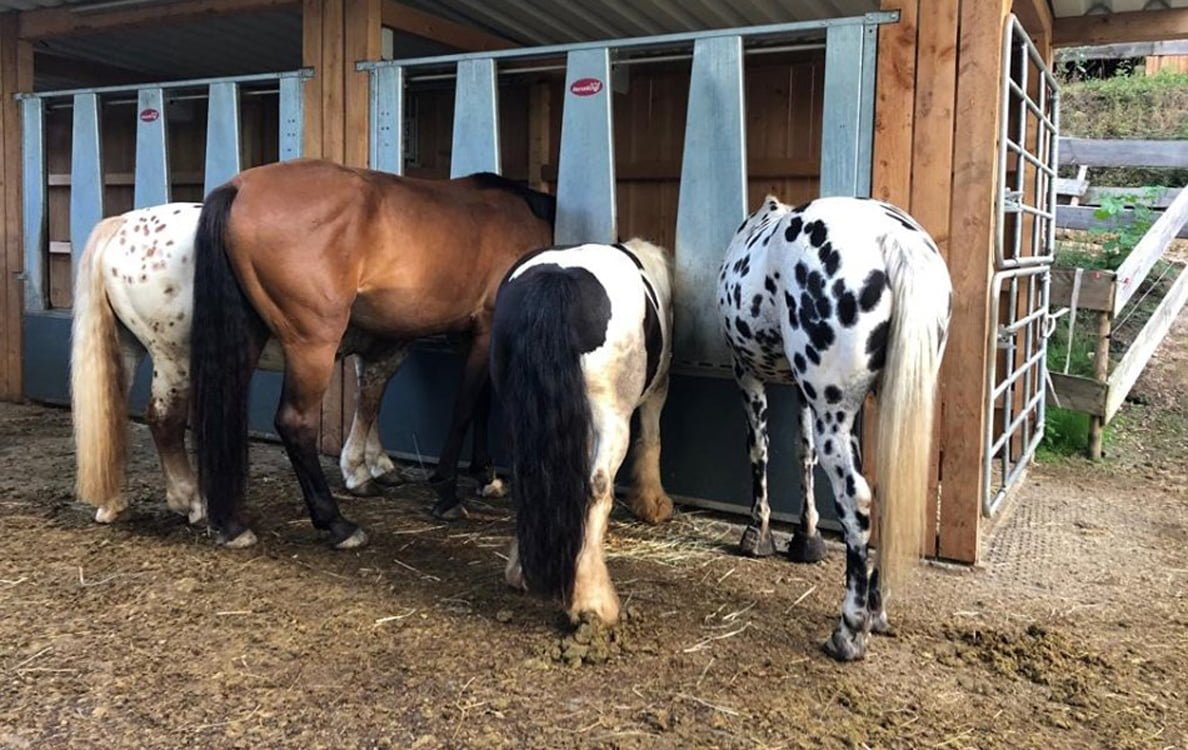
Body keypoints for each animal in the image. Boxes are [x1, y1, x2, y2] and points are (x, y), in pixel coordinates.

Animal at [69, 202, 417, 527]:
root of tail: (121, 225)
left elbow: (366, 399)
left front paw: (377, 463)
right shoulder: (388, 349)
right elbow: (370, 402)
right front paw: (361, 472)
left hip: (127, 347)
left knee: (111, 413)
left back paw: (113, 504)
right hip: (173, 358)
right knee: (163, 419)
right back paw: (193, 503)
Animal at [190, 159, 556, 550]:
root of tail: (239, 188)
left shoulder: (469, 335)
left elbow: (481, 406)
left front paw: (485, 475)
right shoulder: (486, 329)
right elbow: (464, 409)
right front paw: (447, 493)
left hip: (247, 335)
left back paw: (232, 524)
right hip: (313, 344)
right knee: (295, 423)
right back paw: (337, 523)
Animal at [495, 239, 674, 626]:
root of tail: (556, 282)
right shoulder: (658, 388)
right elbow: (652, 438)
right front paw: (653, 502)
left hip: (519, 413)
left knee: (529, 479)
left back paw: (521, 571)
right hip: (612, 419)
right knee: (597, 486)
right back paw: (593, 601)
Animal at [717, 195, 951, 661]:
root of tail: (894, 238)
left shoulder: (746, 374)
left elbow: (759, 450)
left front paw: (758, 534)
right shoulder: (801, 392)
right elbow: (801, 451)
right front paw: (806, 539)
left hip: (834, 409)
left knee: (855, 500)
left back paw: (849, 633)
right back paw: (876, 612)